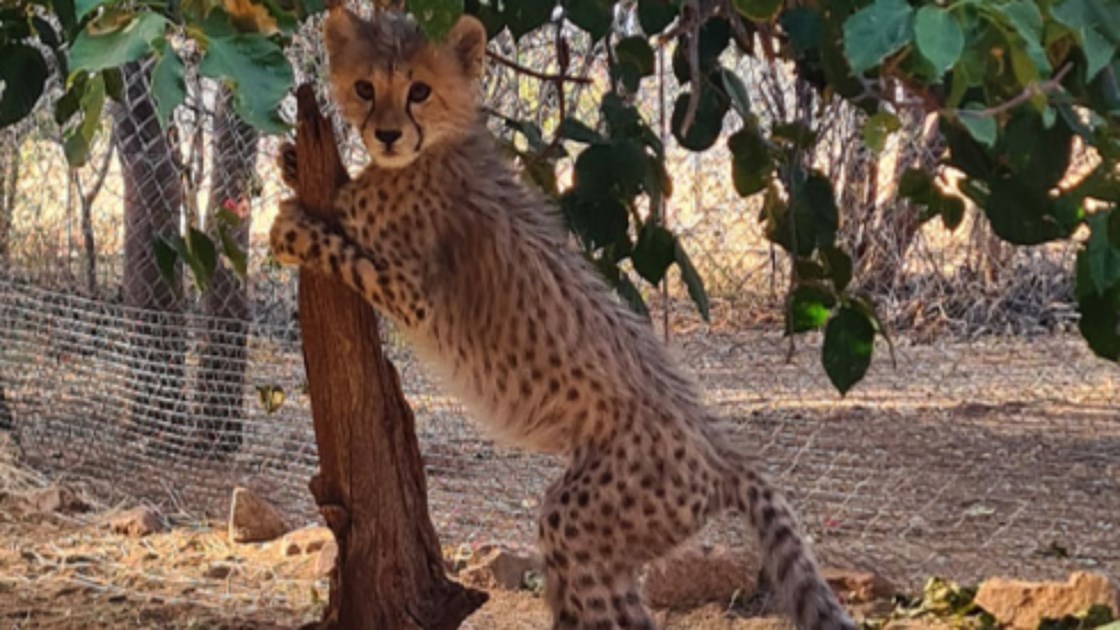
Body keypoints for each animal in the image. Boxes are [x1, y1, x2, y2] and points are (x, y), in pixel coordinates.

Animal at [270, 7, 857, 629]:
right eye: (364, 88)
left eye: (419, 91)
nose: (385, 134)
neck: (438, 146)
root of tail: (723, 453)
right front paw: (293, 161)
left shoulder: (412, 291)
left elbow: (343, 245)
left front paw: (294, 228)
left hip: (585, 515)